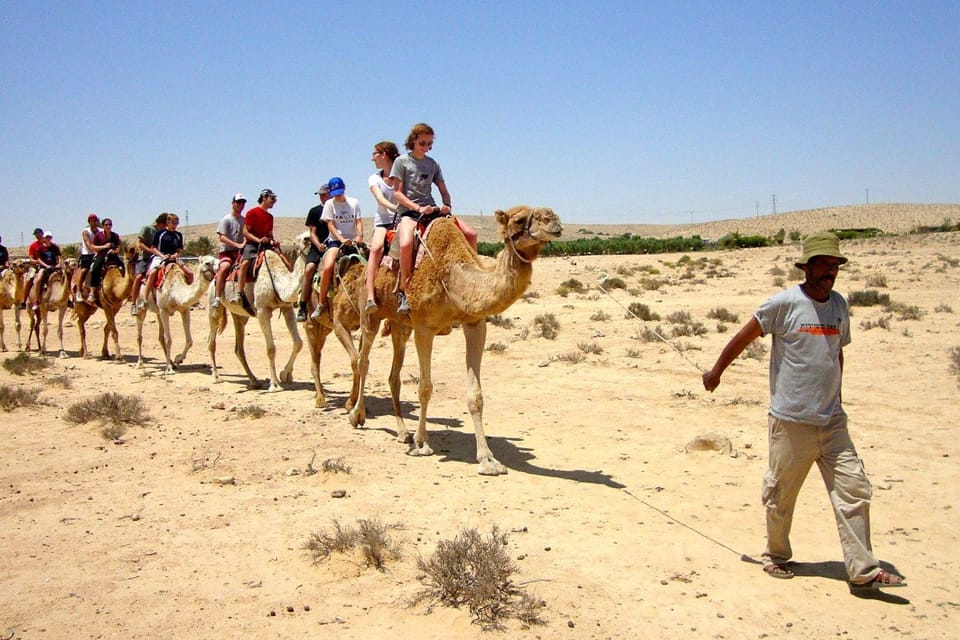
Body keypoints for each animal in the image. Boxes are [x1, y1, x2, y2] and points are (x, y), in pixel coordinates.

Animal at [207, 237, 308, 391]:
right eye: (302, 238)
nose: (309, 240)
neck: (276, 279)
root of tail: (214, 277)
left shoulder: (287, 308)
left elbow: (298, 343)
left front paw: (285, 375)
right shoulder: (262, 311)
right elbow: (271, 348)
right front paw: (274, 384)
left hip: (240, 316)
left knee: (239, 348)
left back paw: (253, 380)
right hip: (214, 307)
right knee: (211, 342)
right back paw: (216, 377)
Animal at [350, 206, 563, 475]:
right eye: (518, 219)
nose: (554, 222)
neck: (453, 278)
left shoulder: (475, 324)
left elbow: (476, 395)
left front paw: (487, 459)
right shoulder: (424, 327)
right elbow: (425, 388)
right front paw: (423, 443)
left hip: (400, 324)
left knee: (393, 374)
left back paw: (403, 432)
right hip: (370, 313)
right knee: (363, 360)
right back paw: (357, 416)